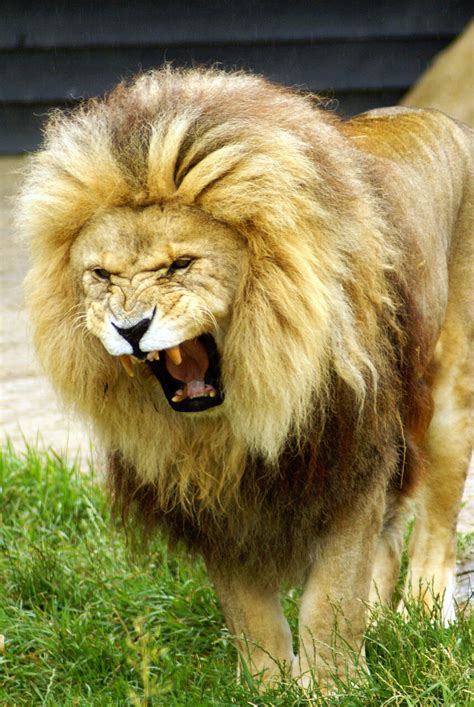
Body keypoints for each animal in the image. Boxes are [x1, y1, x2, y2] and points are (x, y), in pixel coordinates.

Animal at [17, 67, 473, 690]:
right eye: (102, 275)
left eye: (180, 264)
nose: (130, 328)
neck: (234, 418)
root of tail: (431, 115)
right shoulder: (214, 496)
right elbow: (249, 611)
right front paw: (269, 686)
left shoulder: (350, 457)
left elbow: (332, 598)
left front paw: (334, 687)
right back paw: (382, 624)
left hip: (451, 401)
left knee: (436, 526)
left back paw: (422, 616)